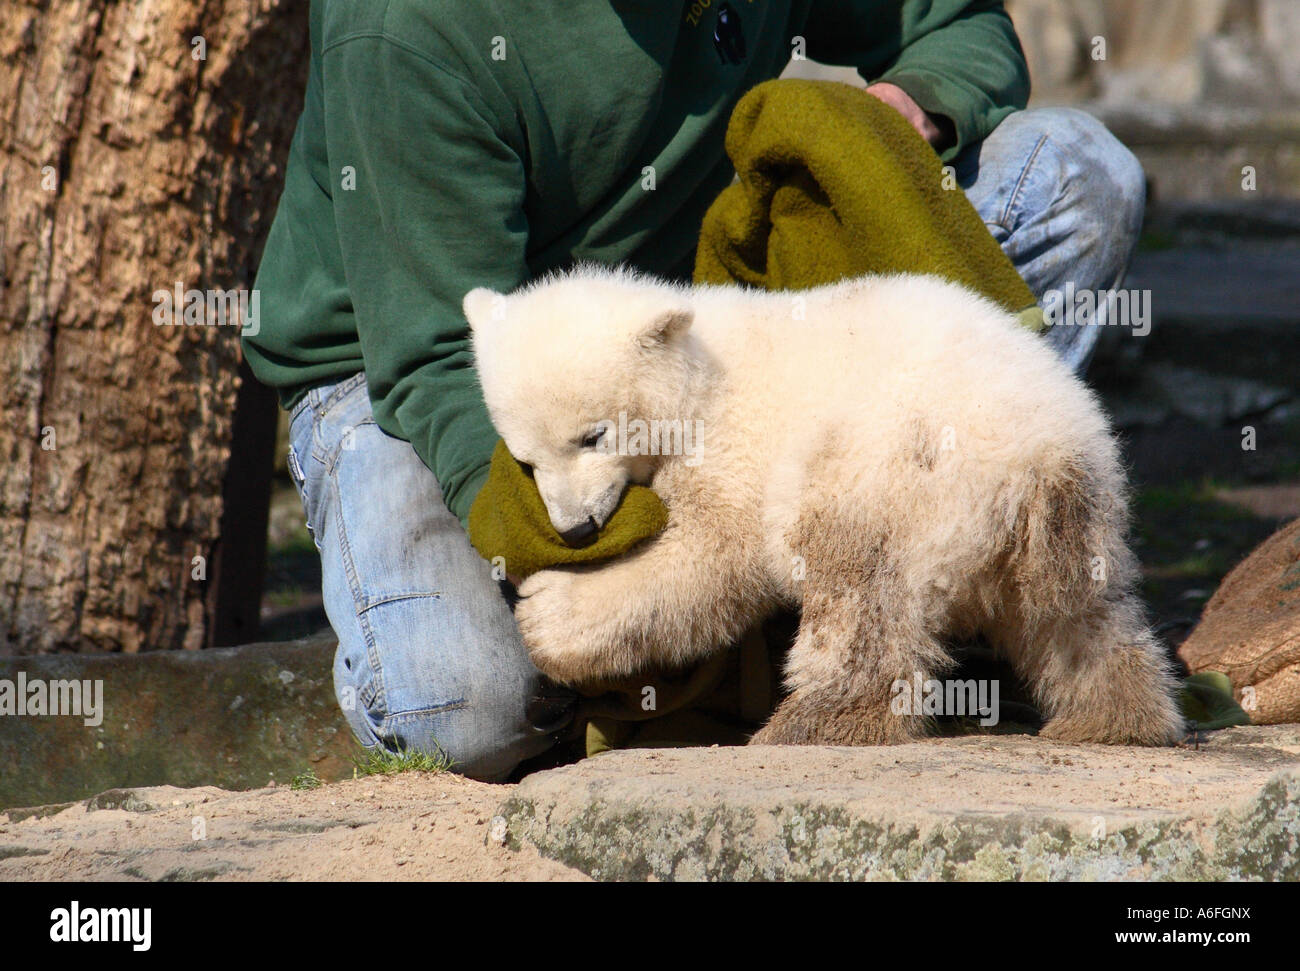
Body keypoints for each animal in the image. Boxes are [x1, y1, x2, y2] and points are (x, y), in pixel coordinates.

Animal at [463, 265, 1185, 746]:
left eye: (594, 435)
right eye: (525, 460)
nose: (577, 529)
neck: (698, 361)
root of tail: (1041, 452)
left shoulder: (733, 444)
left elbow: (711, 560)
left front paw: (548, 614)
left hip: (891, 462)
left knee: (854, 587)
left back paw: (808, 723)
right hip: (1079, 509)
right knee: (1080, 614)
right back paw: (1114, 718)